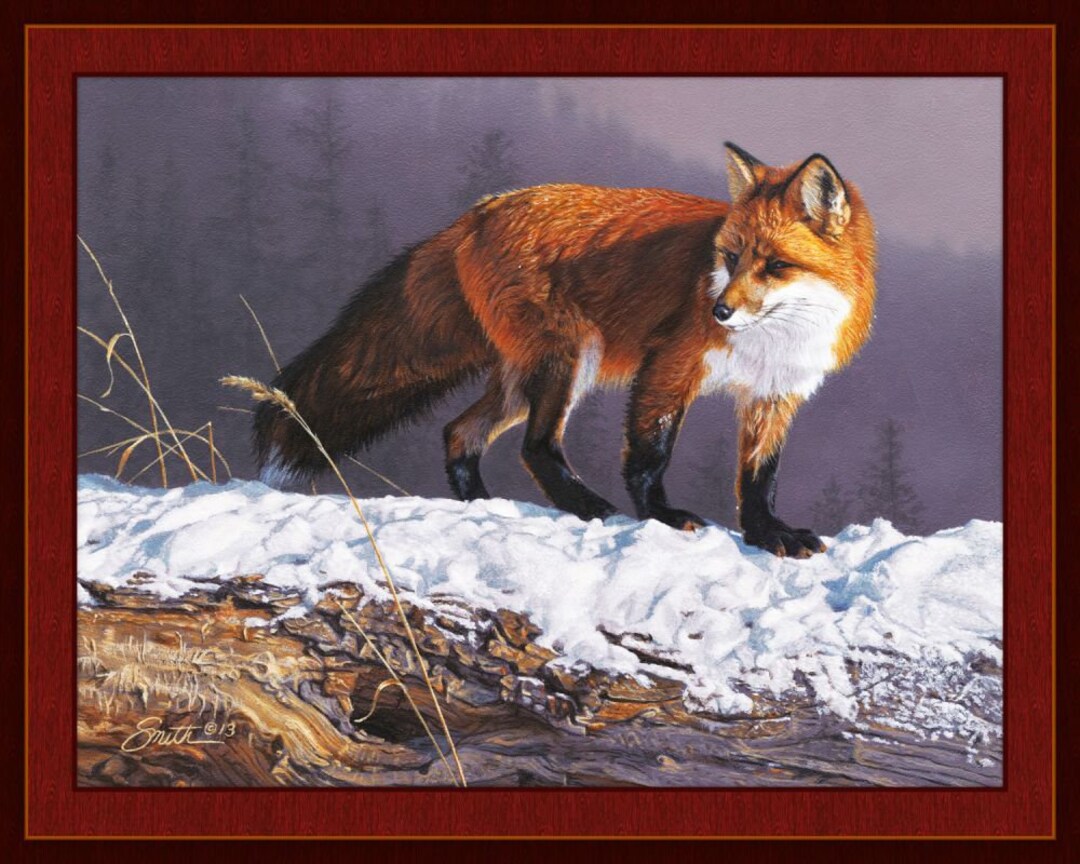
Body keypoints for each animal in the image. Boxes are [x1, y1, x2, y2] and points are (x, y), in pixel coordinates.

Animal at [254, 143, 876, 557]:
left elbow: (759, 478)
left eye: (774, 265)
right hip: (569, 362)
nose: (719, 311)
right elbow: (650, 455)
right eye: (729, 256)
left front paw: (768, 534)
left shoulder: (775, 394)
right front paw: (662, 517)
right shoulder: (670, 365)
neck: (776, 337)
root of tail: (478, 212)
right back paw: (586, 507)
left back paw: (481, 503)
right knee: (535, 446)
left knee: (459, 431)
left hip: (525, 378)